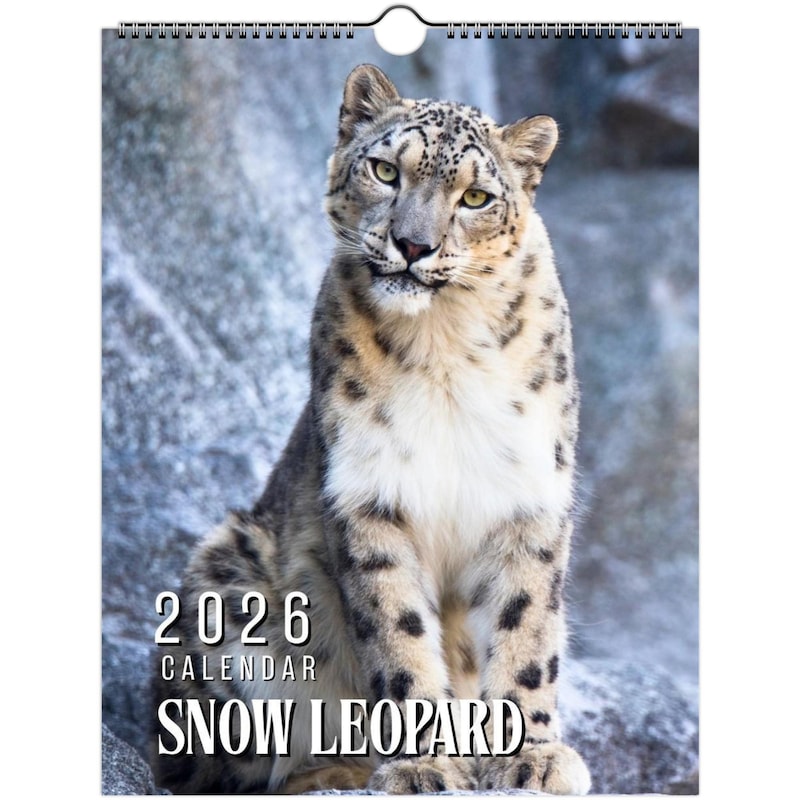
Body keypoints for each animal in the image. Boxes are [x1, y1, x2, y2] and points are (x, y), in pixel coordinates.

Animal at [151, 64, 591, 795]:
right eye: (386, 171)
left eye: (475, 196)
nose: (413, 245)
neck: (444, 346)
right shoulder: (371, 495)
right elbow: (399, 633)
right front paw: (422, 764)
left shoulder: (528, 493)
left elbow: (526, 626)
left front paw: (531, 755)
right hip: (229, 574)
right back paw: (334, 769)